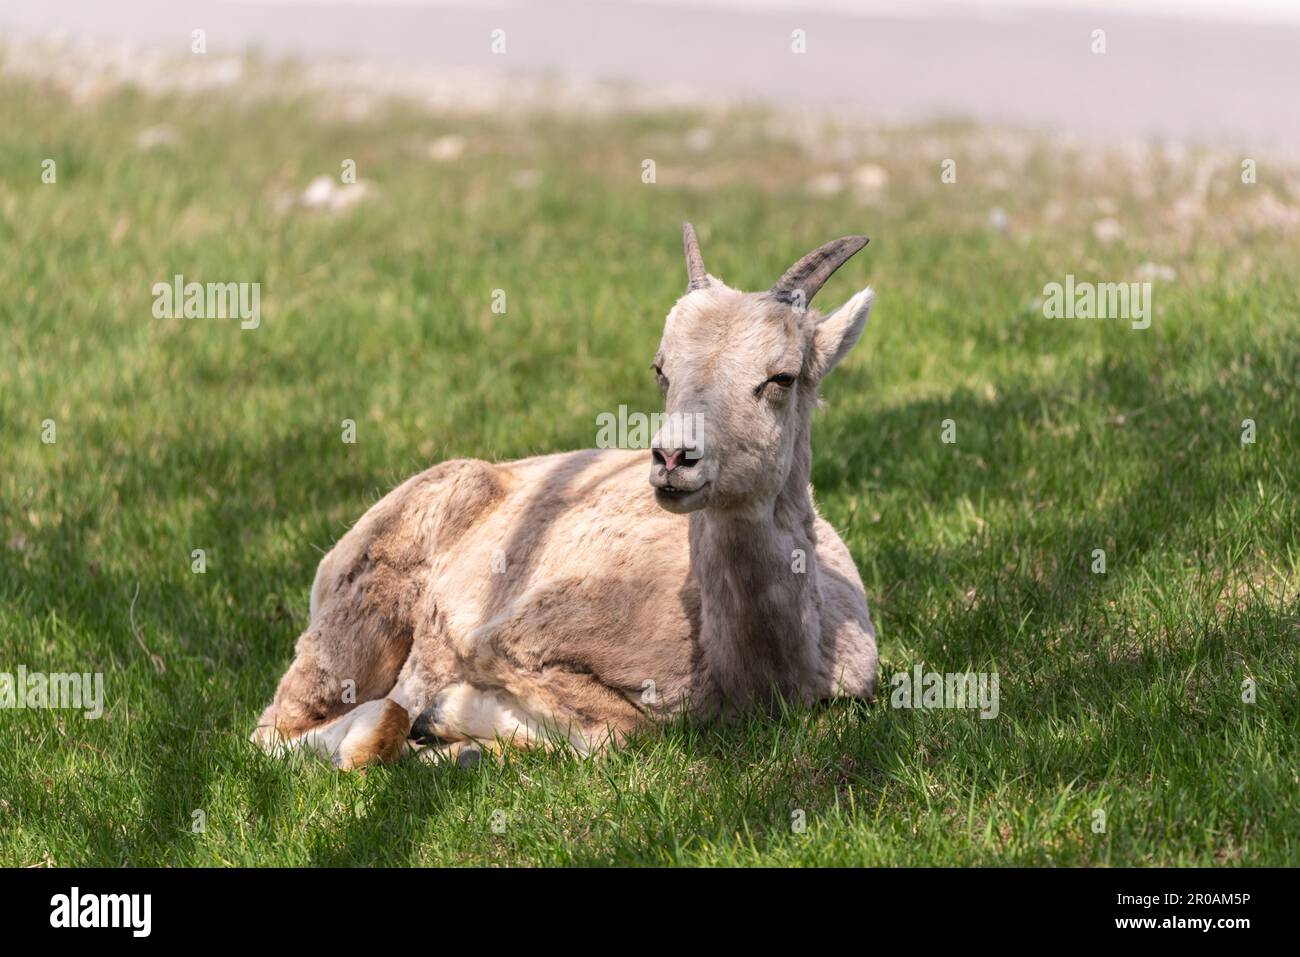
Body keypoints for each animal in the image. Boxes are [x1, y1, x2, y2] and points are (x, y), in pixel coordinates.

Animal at [251, 223, 877, 767]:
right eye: (661, 370)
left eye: (782, 377)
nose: (673, 459)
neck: (748, 676)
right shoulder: (510, 643)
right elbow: (619, 731)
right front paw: (446, 714)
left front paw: (454, 738)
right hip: (356, 627)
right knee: (278, 729)